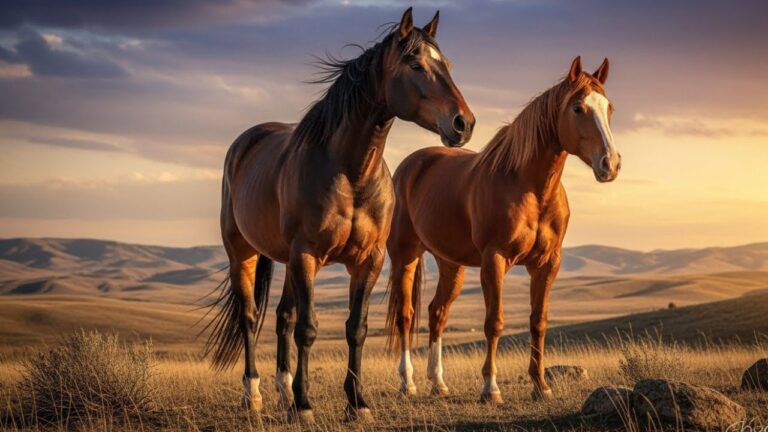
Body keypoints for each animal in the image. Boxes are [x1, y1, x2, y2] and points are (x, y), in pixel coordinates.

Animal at [205, 7, 474, 423]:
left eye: (447, 64)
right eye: (415, 64)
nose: (464, 123)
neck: (351, 172)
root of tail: (245, 142)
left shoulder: (368, 261)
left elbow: (355, 329)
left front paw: (356, 402)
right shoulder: (306, 255)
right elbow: (308, 328)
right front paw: (304, 406)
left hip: (285, 259)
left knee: (282, 317)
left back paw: (283, 392)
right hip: (243, 253)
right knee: (250, 317)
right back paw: (254, 394)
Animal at [385, 56, 619, 403]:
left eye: (609, 107)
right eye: (578, 108)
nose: (611, 164)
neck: (530, 188)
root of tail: (409, 167)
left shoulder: (547, 263)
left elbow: (538, 322)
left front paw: (541, 386)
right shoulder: (494, 259)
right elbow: (494, 322)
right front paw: (490, 388)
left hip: (450, 264)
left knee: (437, 312)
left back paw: (438, 383)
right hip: (405, 255)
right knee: (405, 314)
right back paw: (407, 382)